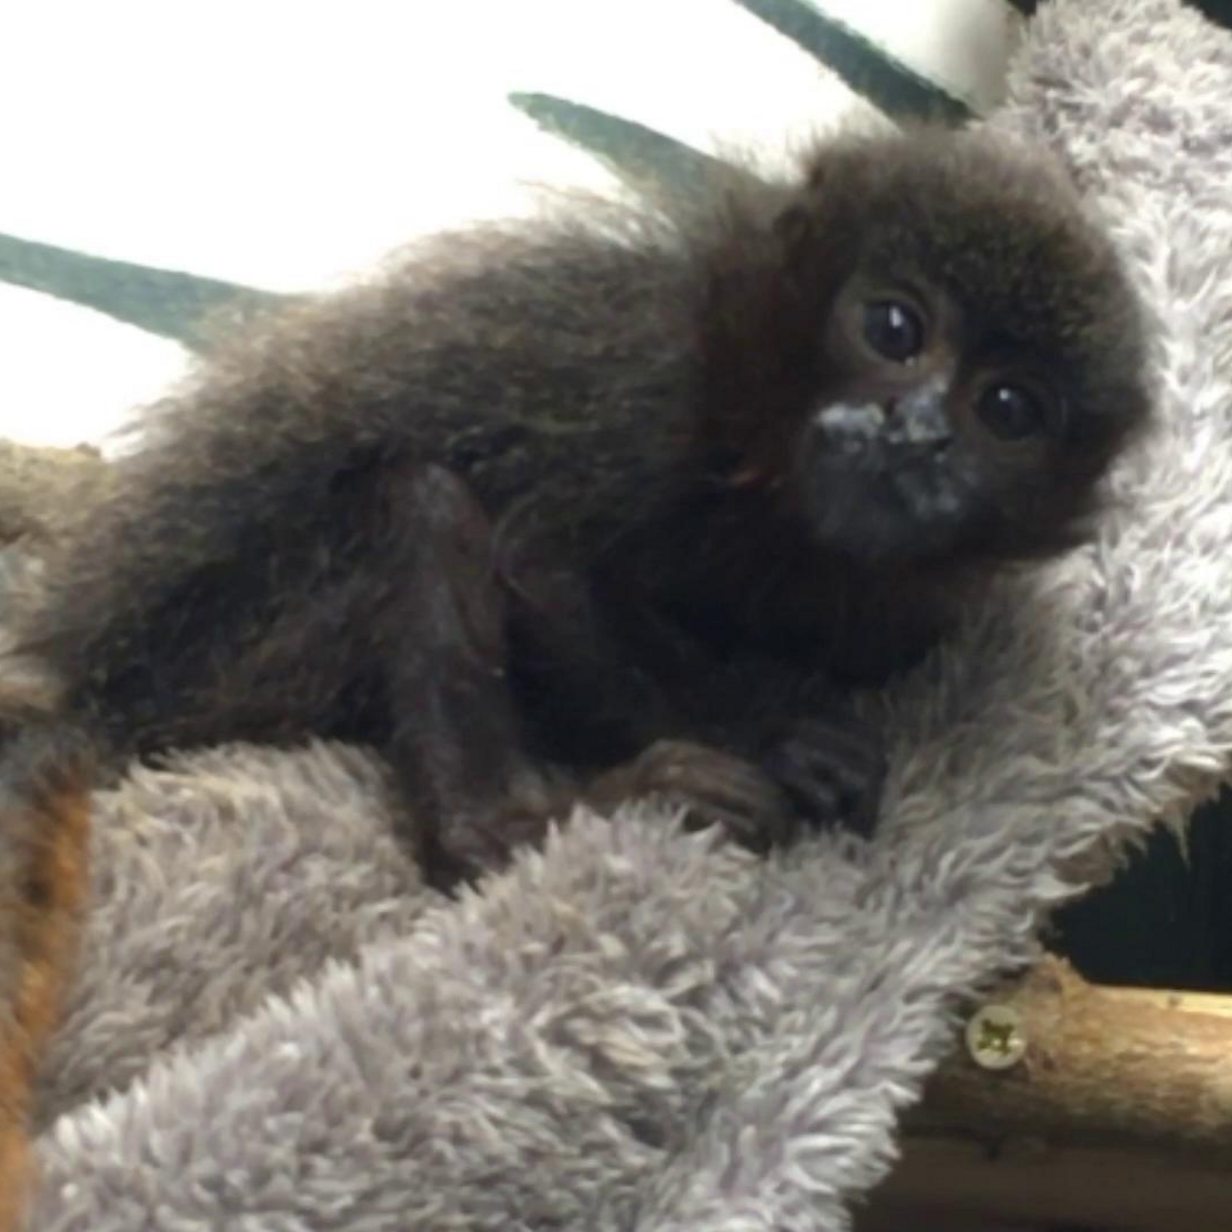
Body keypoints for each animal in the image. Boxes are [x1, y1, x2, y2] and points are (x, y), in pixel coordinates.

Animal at [0, 123, 1151, 1225]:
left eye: (1008, 407)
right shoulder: (649, 394)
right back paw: (516, 827)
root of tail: (97, 687)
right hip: (238, 654)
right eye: (896, 329)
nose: (917, 434)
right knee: (422, 506)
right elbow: (540, 563)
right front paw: (771, 734)